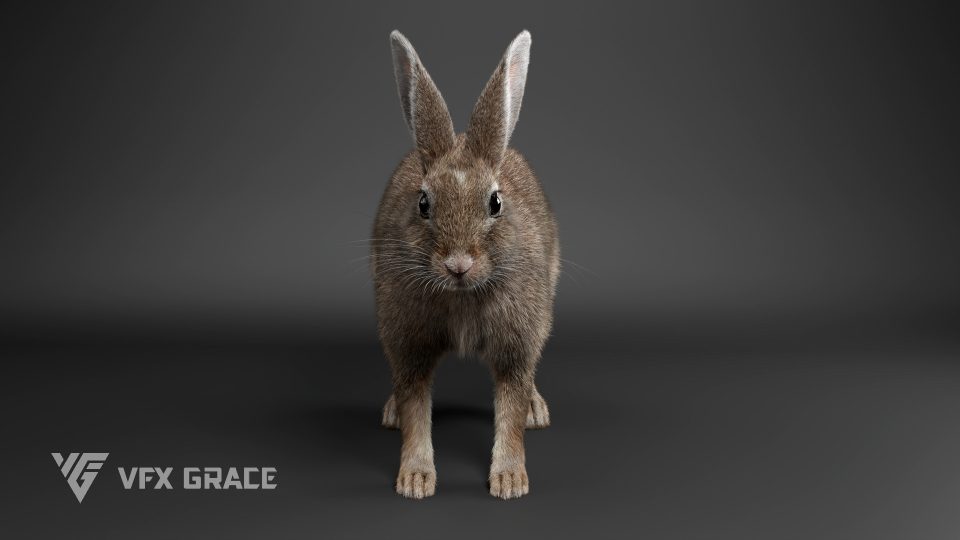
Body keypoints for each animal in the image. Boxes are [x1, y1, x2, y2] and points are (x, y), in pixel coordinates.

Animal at [372, 29, 559, 500]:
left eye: (495, 203)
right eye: (423, 203)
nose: (458, 265)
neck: (461, 294)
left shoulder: (516, 341)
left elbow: (510, 410)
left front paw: (510, 482)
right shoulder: (408, 340)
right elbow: (416, 410)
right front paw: (415, 481)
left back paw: (537, 410)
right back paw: (390, 412)